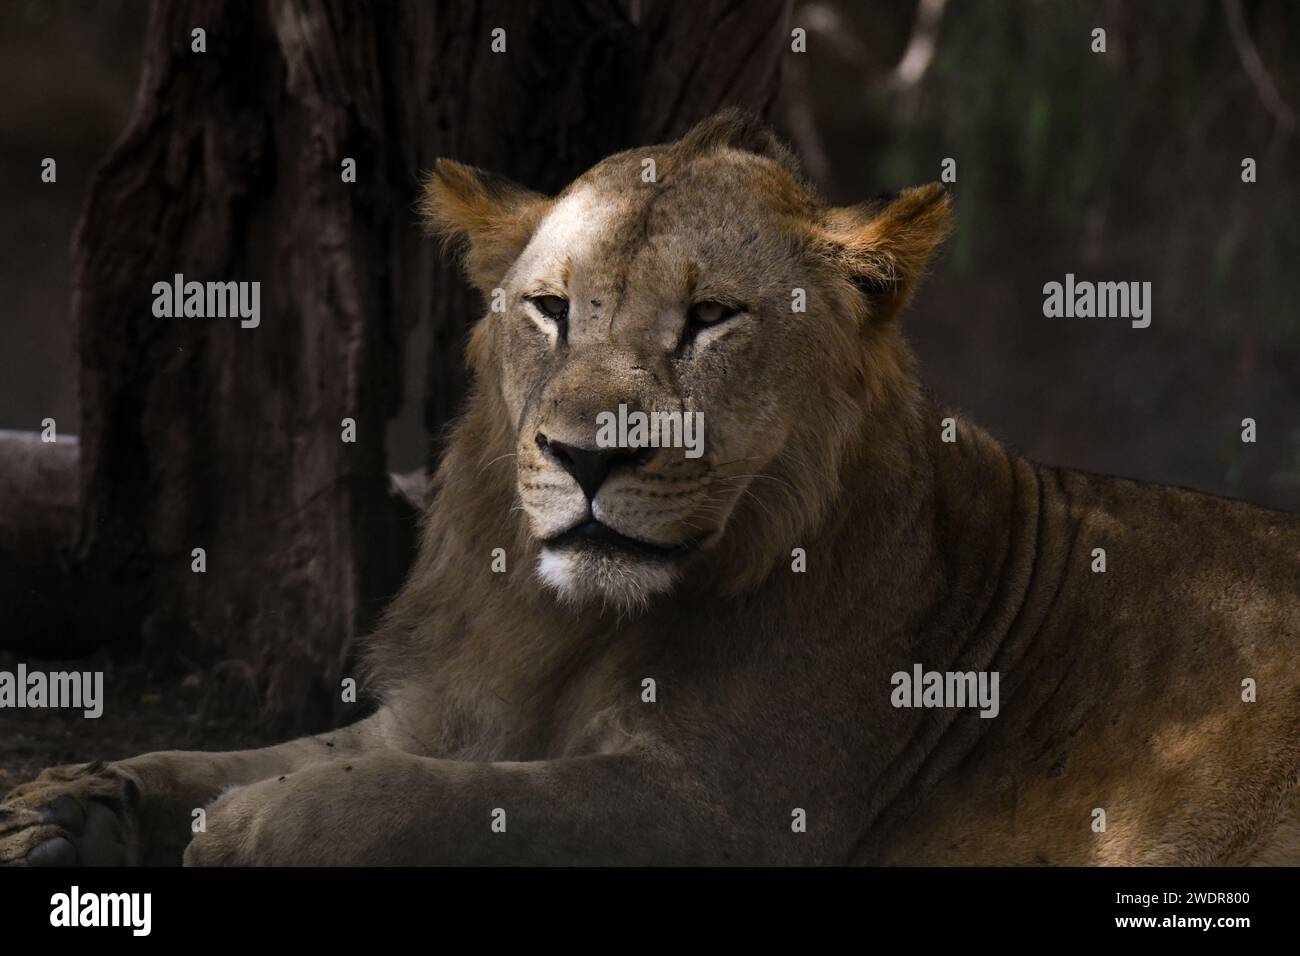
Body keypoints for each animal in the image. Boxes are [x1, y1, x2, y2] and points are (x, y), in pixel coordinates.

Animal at [3, 111, 1298, 866]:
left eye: (712, 317)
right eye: (549, 308)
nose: (590, 457)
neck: (561, 622)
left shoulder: (727, 811)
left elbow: (420, 801)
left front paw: (255, 829)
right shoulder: (445, 710)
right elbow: (270, 753)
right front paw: (69, 802)